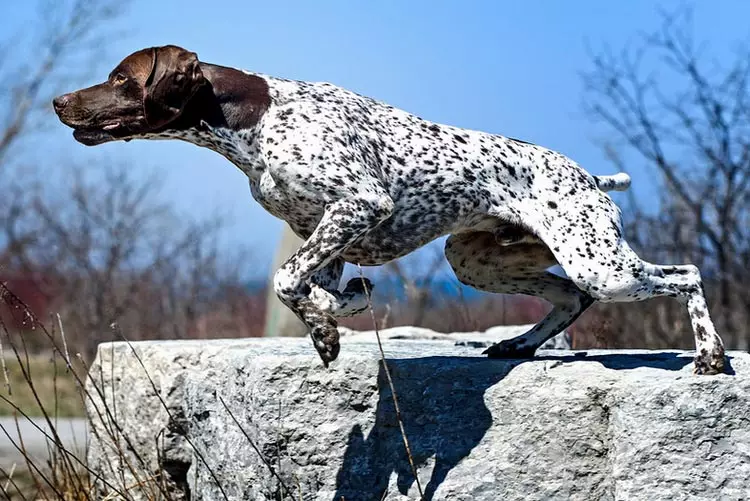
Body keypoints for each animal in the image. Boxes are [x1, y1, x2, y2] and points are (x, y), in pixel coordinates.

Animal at [53, 45, 728, 374]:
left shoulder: (358, 205)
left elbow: (285, 280)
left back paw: (710, 356)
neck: (257, 117)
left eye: (121, 78)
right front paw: (336, 316)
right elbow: (313, 289)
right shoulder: (324, 235)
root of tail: (588, 175)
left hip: (600, 263)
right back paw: (517, 346)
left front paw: (330, 327)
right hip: (475, 260)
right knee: (569, 296)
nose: (60, 101)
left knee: (686, 274)